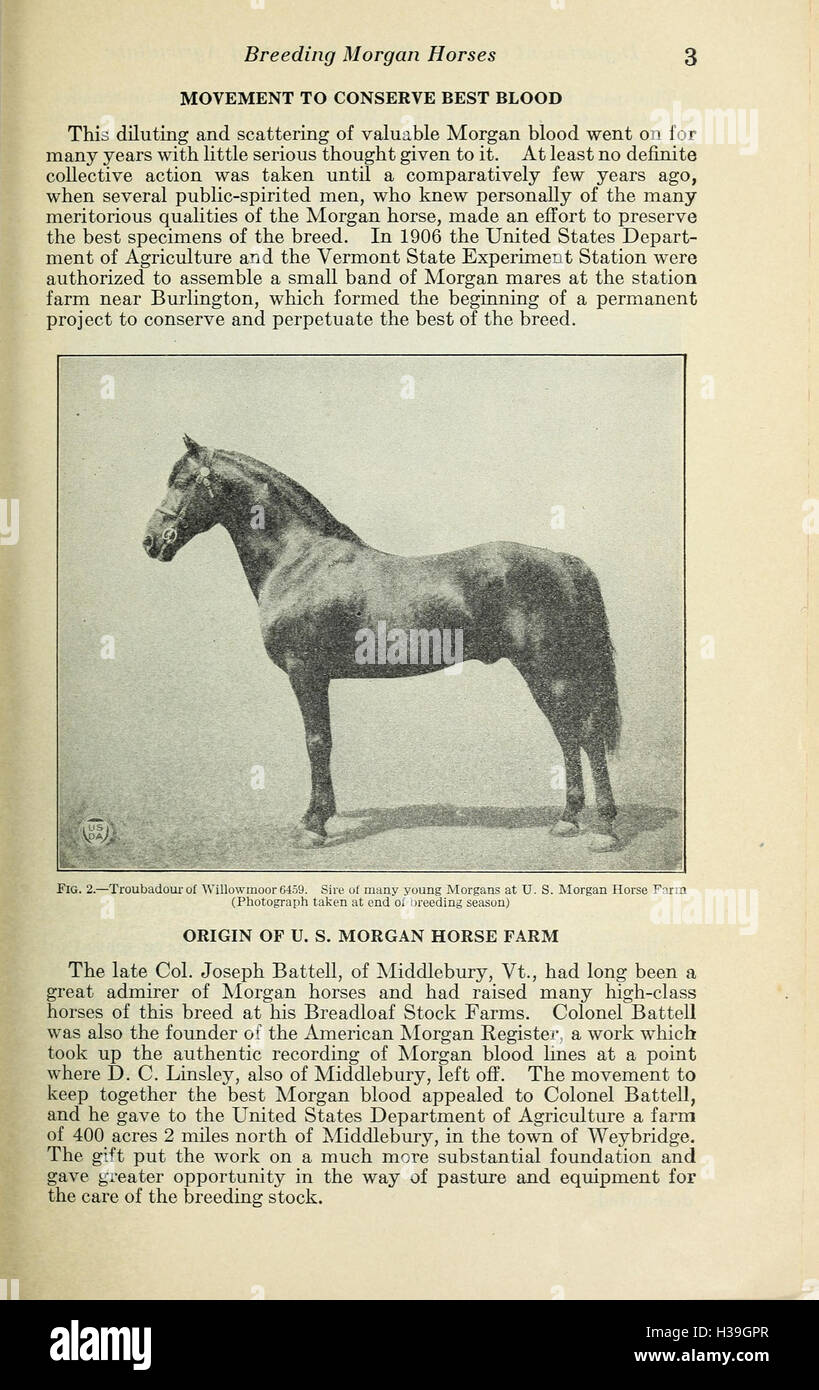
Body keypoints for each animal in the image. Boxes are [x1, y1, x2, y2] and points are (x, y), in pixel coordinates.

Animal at [143, 437, 622, 851]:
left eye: (182, 481)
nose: (150, 541)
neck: (298, 560)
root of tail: (564, 562)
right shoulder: (316, 677)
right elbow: (324, 741)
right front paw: (322, 817)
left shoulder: (305, 673)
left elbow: (316, 741)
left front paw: (313, 825)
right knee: (568, 735)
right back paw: (568, 819)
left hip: (551, 671)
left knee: (586, 734)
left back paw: (603, 830)